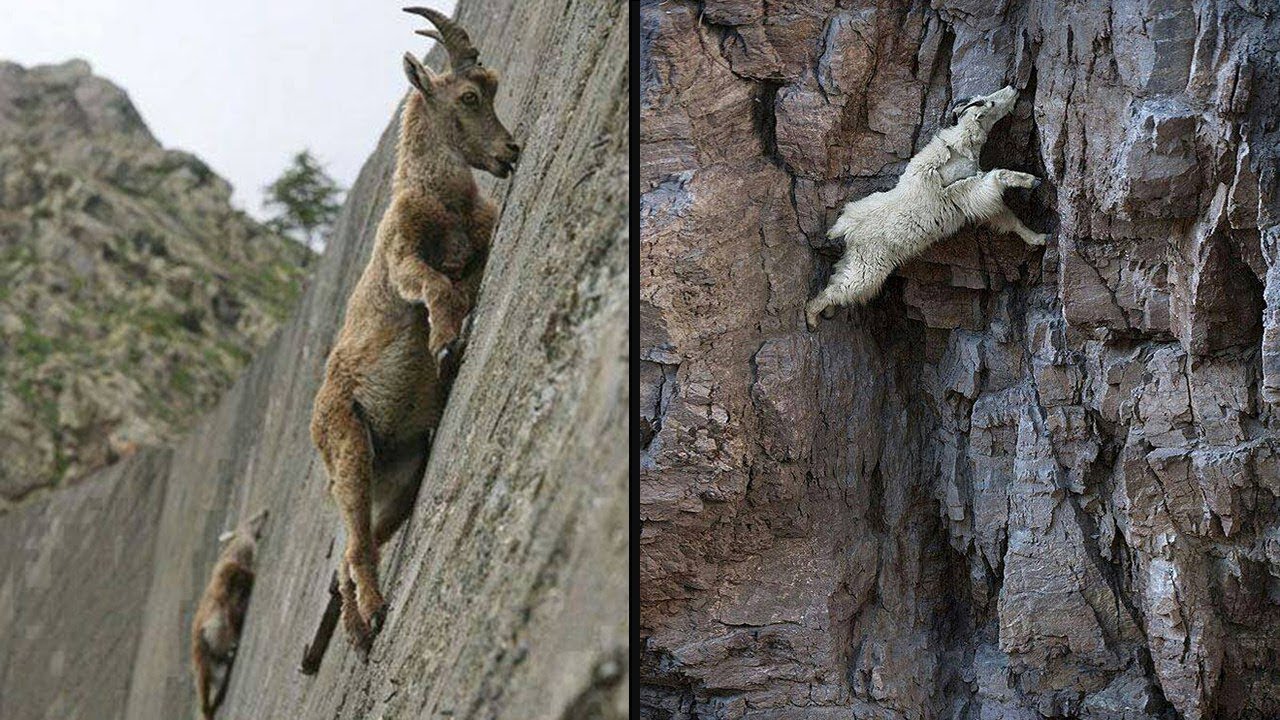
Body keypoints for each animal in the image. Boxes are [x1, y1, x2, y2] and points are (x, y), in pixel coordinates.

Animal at [307, 6, 520, 664]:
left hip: (401, 471)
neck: (436, 197)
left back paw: (354, 627)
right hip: (350, 447)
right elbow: (438, 289)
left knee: (355, 554)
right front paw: (447, 345)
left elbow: (465, 278)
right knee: (354, 548)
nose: (511, 151)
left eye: (492, 88)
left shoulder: (479, 239)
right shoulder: (402, 260)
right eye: (470, 95)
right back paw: (371, 618)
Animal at [805, 86, 1047, 330]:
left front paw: (1039, 238)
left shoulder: (977, 200)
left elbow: (1007, 218)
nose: (1013, 89)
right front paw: (1031, 180)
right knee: (844, 288)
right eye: (991, 103)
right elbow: (998, 177)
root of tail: (847, 229)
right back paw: (811, 317)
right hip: (869, 266)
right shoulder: (969, 191)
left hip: (855, 259)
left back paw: (827, 312)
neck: (960, 151)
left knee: (837, 278)